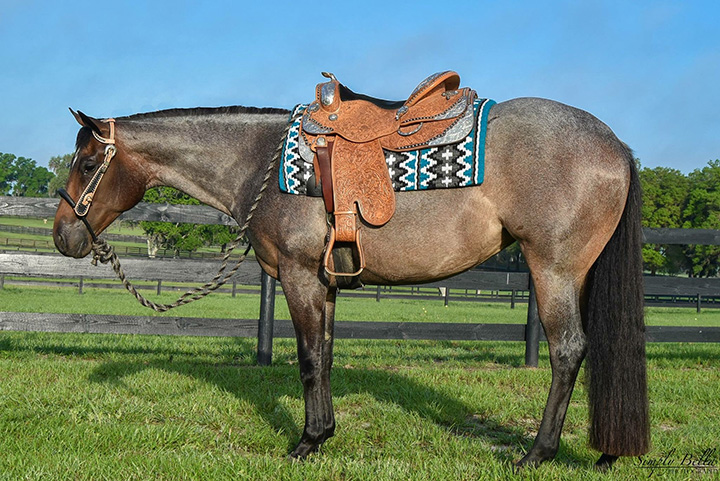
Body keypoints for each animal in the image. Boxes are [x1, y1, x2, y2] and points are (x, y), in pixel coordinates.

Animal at [53, 97, 649, 470]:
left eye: (87, 161)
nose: (63, 236)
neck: (260, 164)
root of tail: (616, 146)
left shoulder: (298, 278)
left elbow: (308, 358)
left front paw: (306, 442)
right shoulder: (328, 284)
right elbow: (327, 354)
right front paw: (325, 433)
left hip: (553, 270)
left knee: (567, 350)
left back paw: (537, 454)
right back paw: (606, 452)